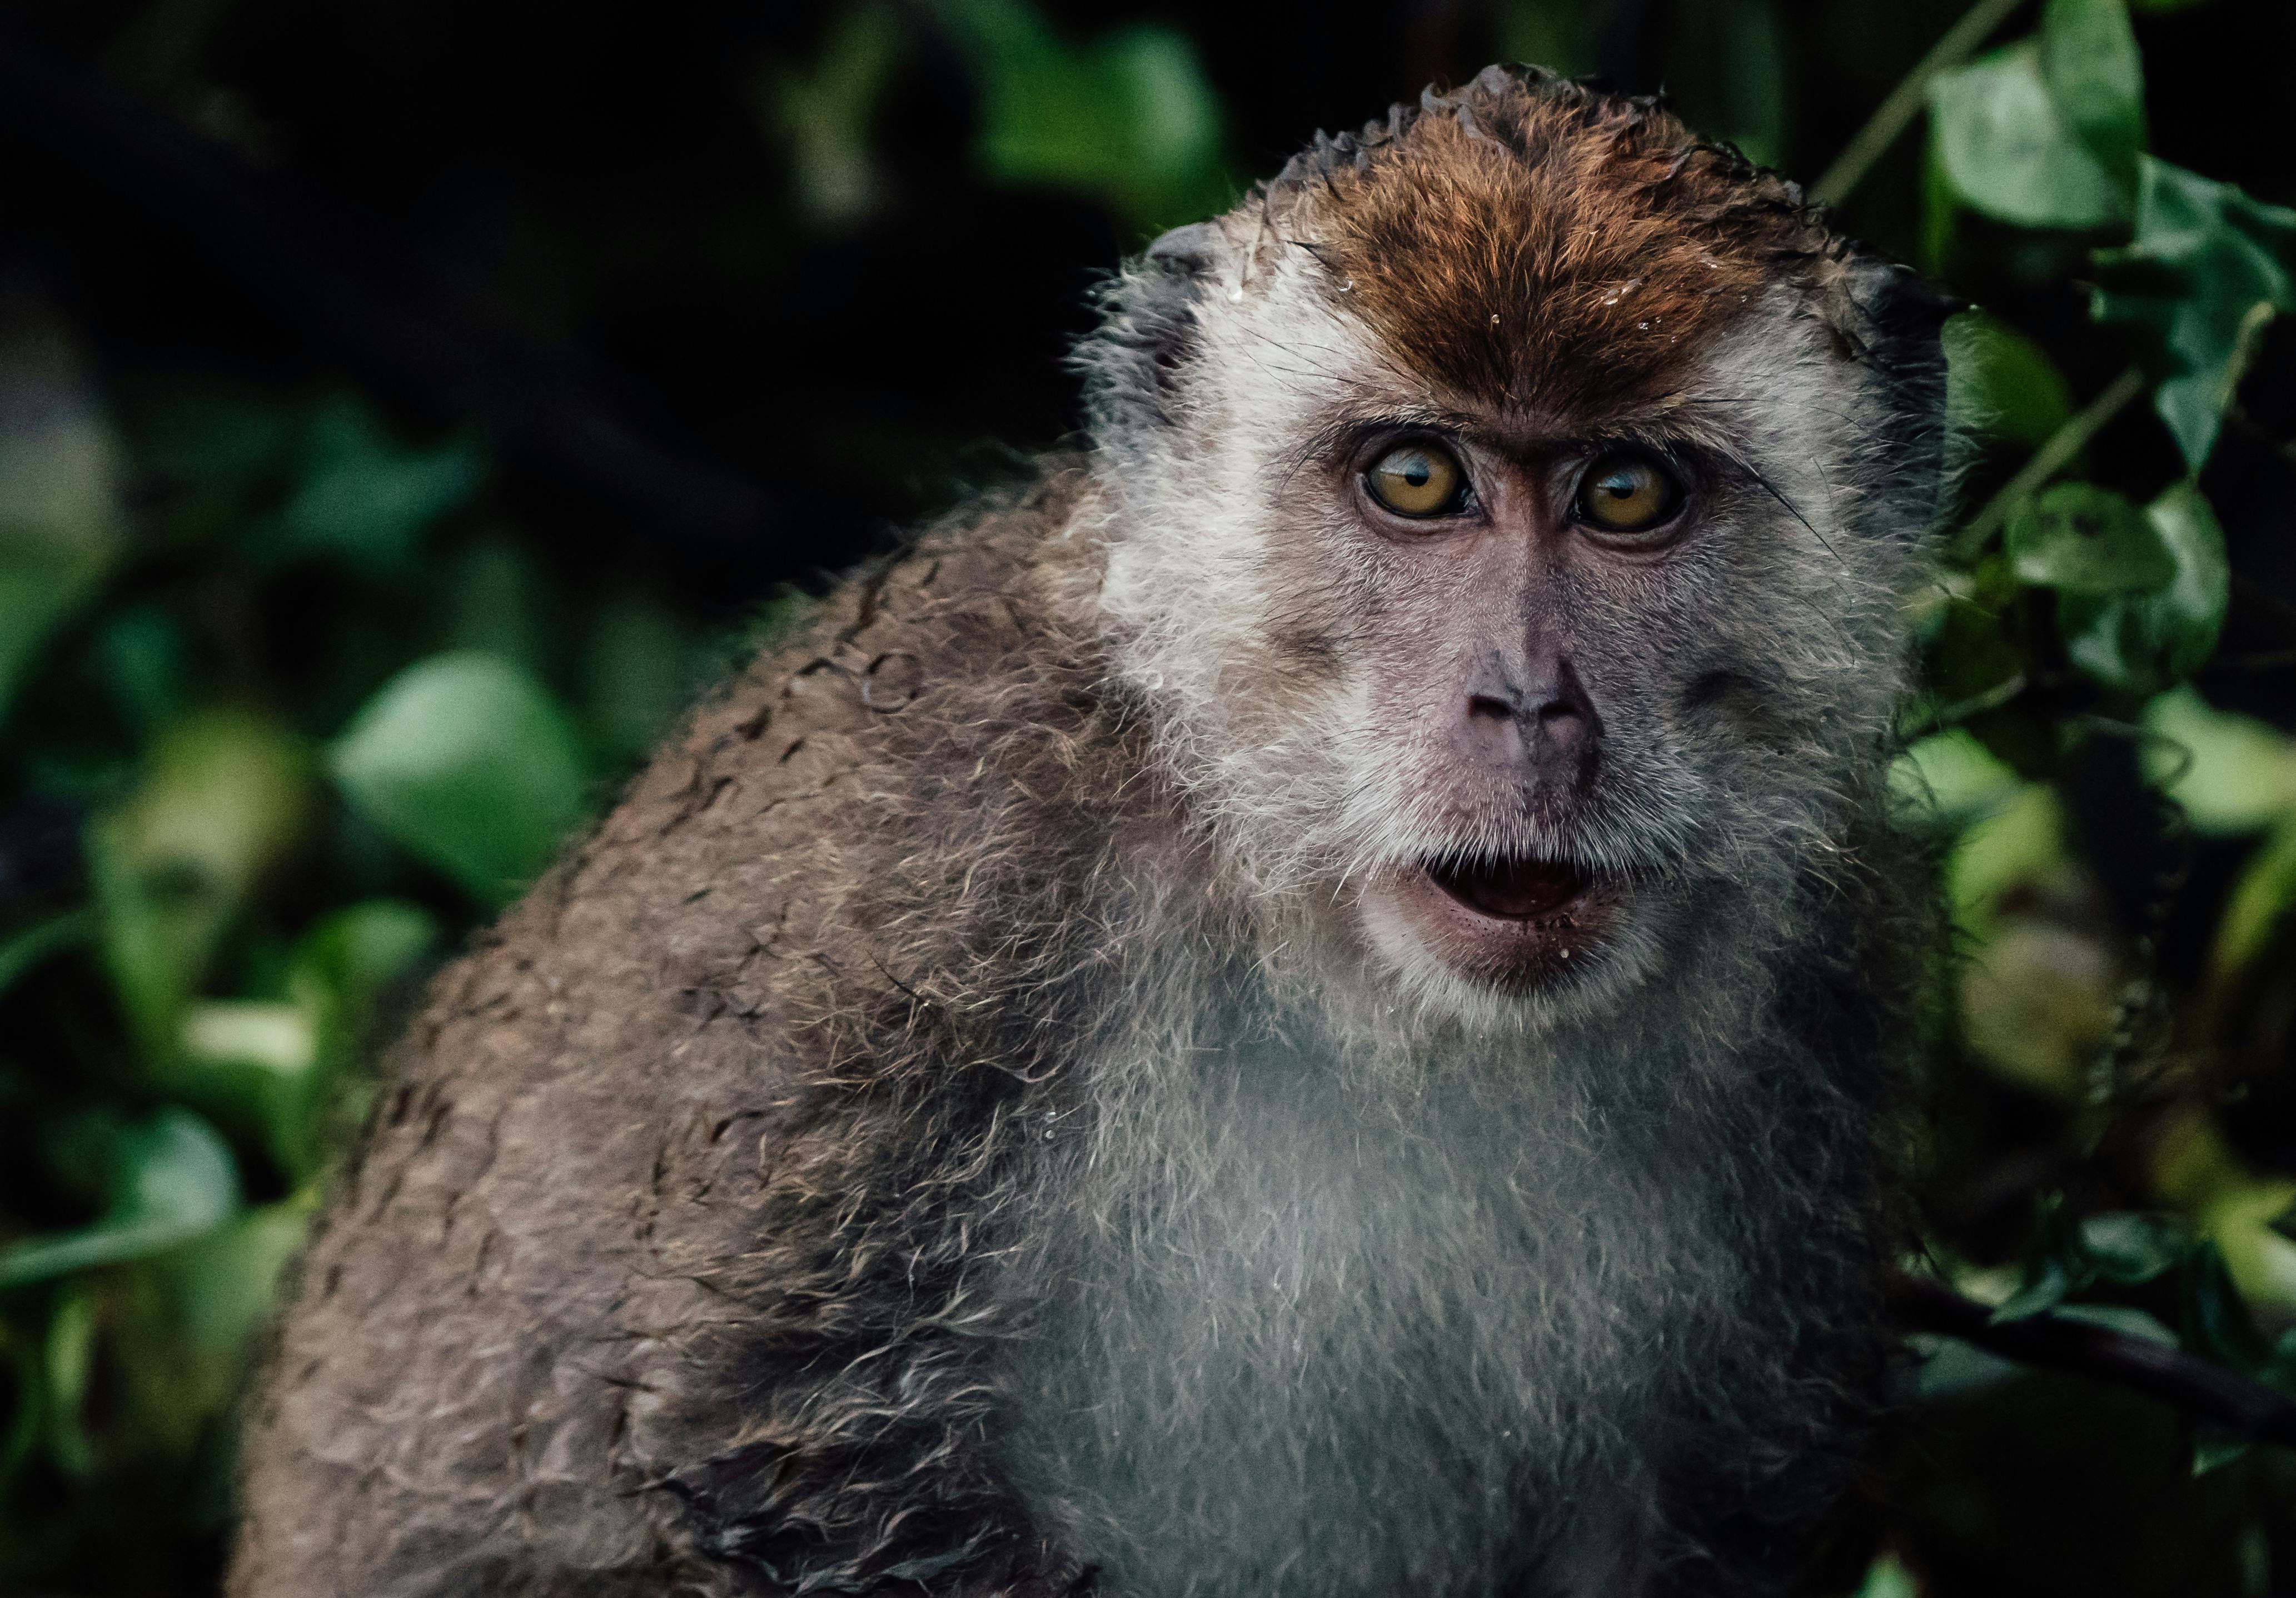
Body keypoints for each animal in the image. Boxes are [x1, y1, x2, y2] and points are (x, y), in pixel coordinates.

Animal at [228, 65, 1949, 1598]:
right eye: (1415, 478)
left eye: (1627, 495)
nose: (1525, 702)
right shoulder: (947, 892)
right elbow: (776, 1425)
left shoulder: (1826, 980)